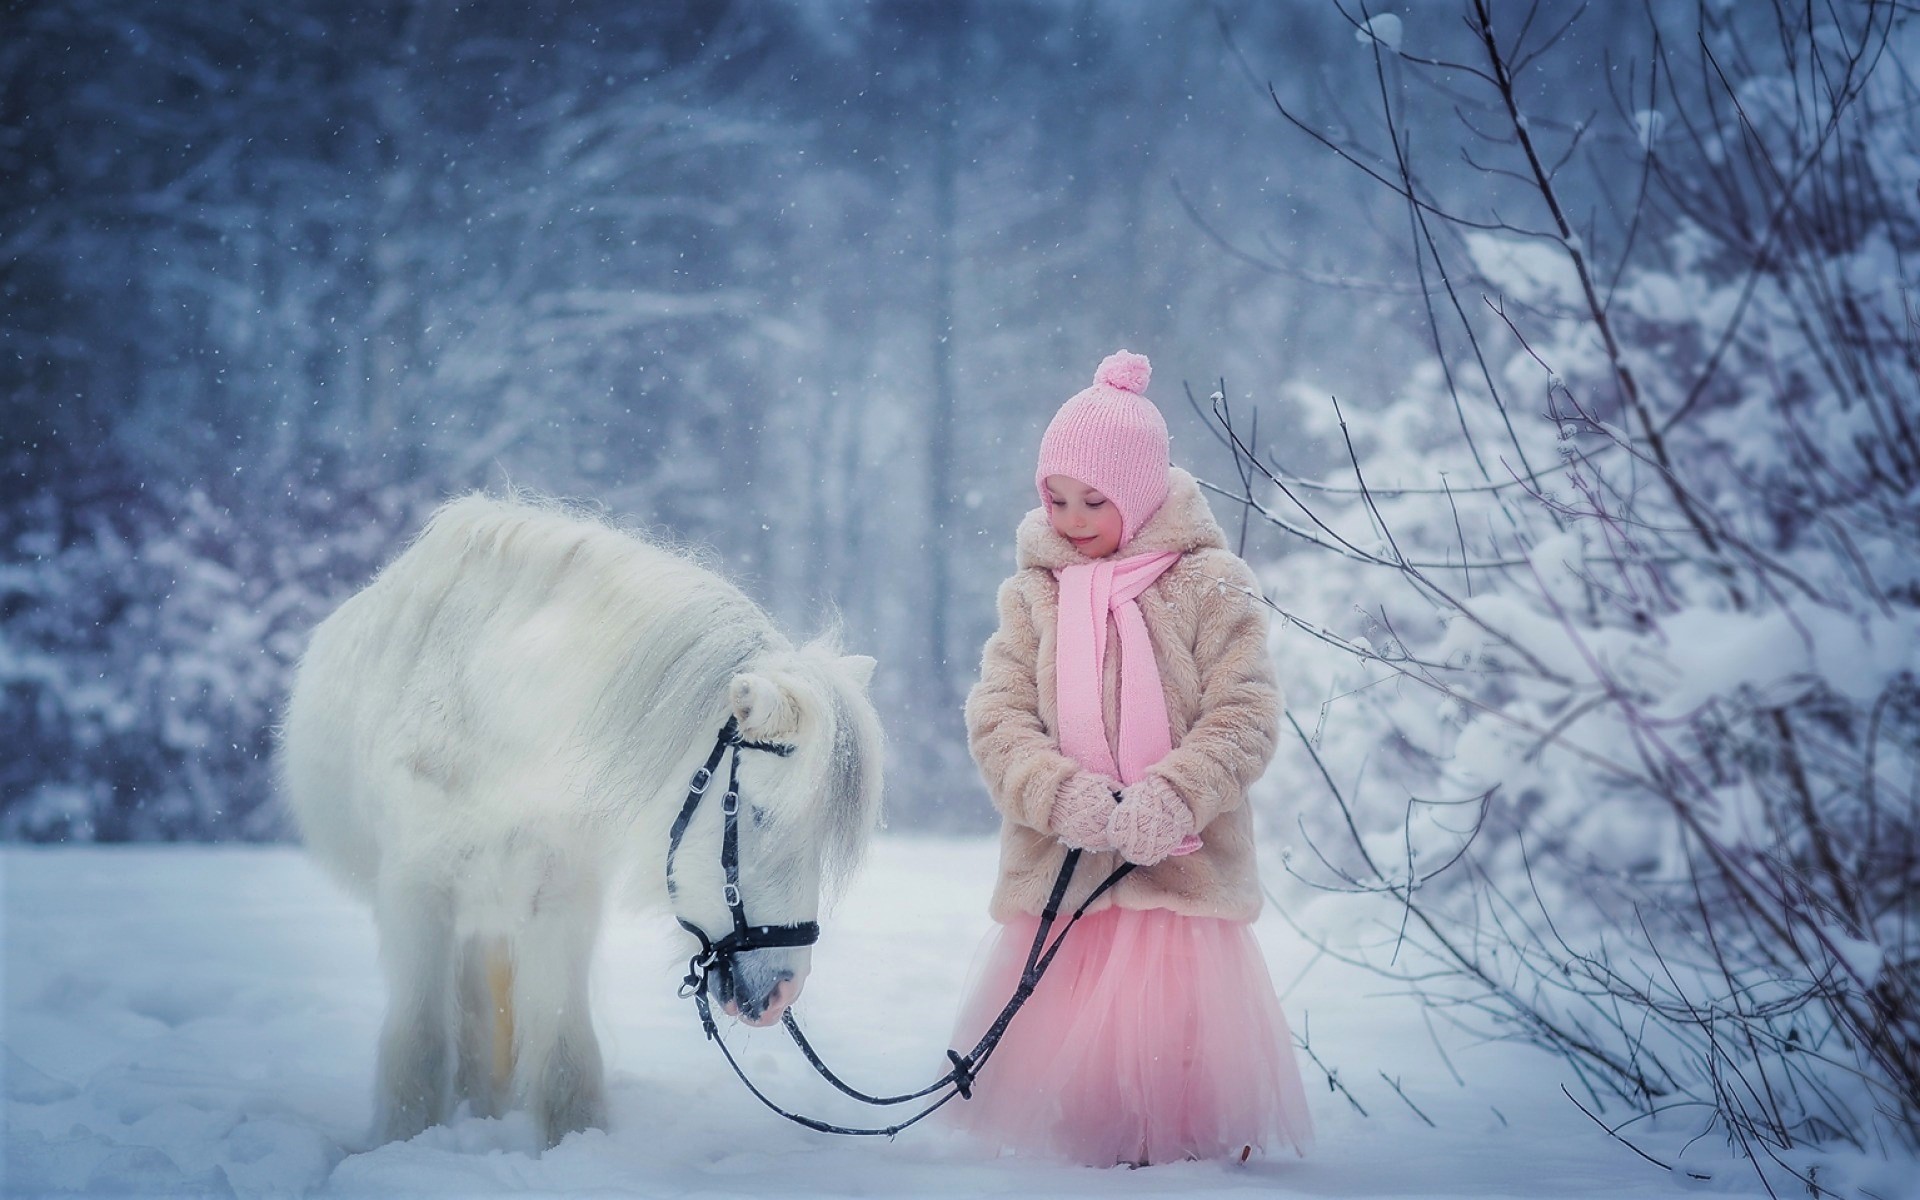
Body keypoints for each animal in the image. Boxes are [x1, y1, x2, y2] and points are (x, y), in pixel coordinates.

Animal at [279, 493, 884, 1150]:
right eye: (757, 812)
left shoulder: (560, 897)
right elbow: (421, 1044)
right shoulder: (416, 896)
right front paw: (402, 1143)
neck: (497, 718)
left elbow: (564, 1052)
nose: (784, 990)